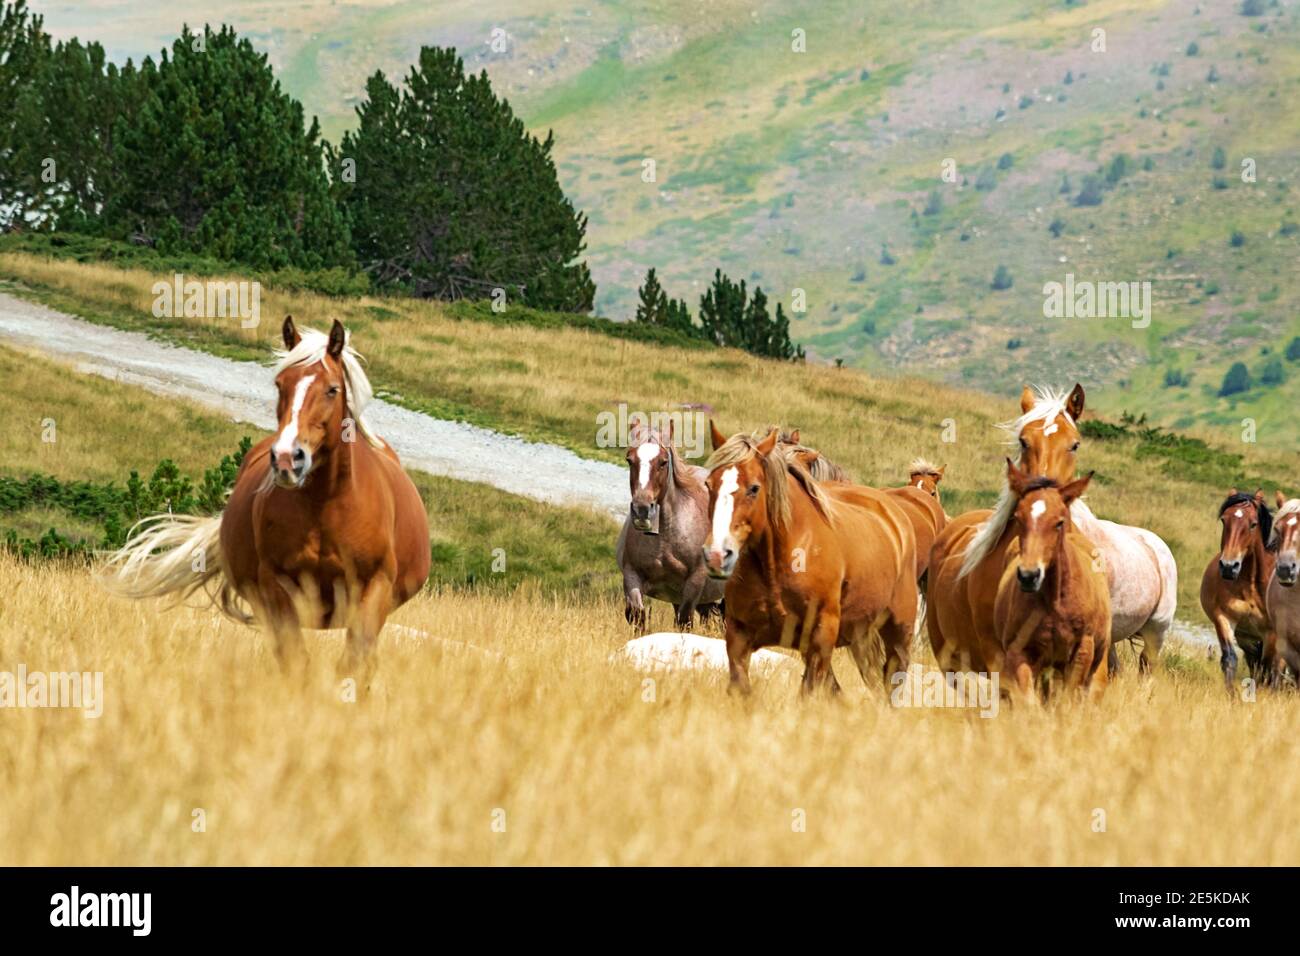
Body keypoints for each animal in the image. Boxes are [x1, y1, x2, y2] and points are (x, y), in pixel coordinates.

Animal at [103, 316, 431, 684]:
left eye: (332, 389)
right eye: (280, 384)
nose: (288, 458)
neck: (325, 507)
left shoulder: (372, 589)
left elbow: (354, 664)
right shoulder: (277, 589)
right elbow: (296, 662)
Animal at [617, 419, 725, 633]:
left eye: (663, 462)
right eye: (629, 460)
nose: (642, 509)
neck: (665, 538)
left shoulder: (695, 583)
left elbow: (685, 622)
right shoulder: (632, 575)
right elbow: (637, 615)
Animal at [701, 428, 918, 696]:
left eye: (753, 488)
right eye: (709, 484)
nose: (716, 555)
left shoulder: (821, 636)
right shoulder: (738, 634)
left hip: (898, 634)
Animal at [996, 462, 1111, 704]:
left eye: (1058, 522)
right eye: (1018, 518)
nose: (1029, 575)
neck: (1055, 603)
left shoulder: (1081, 653)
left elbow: (1067, 701)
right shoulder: (1019, 654)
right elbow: (1029, 702)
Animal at [1200, 489, 1277, 691]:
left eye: (1253, 524)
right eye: (1224, 520)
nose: (1228, 567)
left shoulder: (1272, 634)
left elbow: (1267, 670)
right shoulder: (1223, 618)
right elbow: (1229, 660)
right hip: (1246, 638)